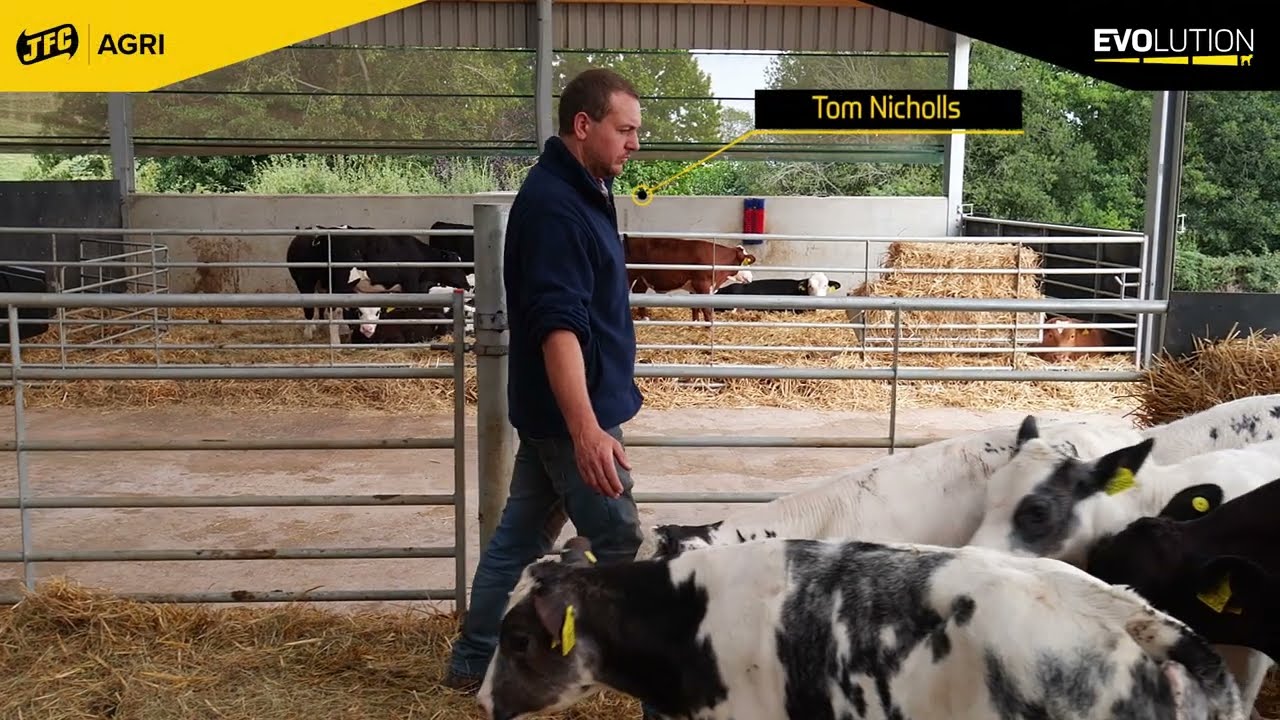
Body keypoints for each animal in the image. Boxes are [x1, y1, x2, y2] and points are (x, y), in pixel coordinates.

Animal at [623, 235, 756, 323]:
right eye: (745, 264)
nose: (751, 277)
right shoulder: (702, 284)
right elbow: (706, 308)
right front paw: (707, 328)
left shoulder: (695, 287)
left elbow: (695, 306)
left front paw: (695, 323)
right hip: (630, 274)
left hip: (643, 277)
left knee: (638, 290)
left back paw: (644, 318)